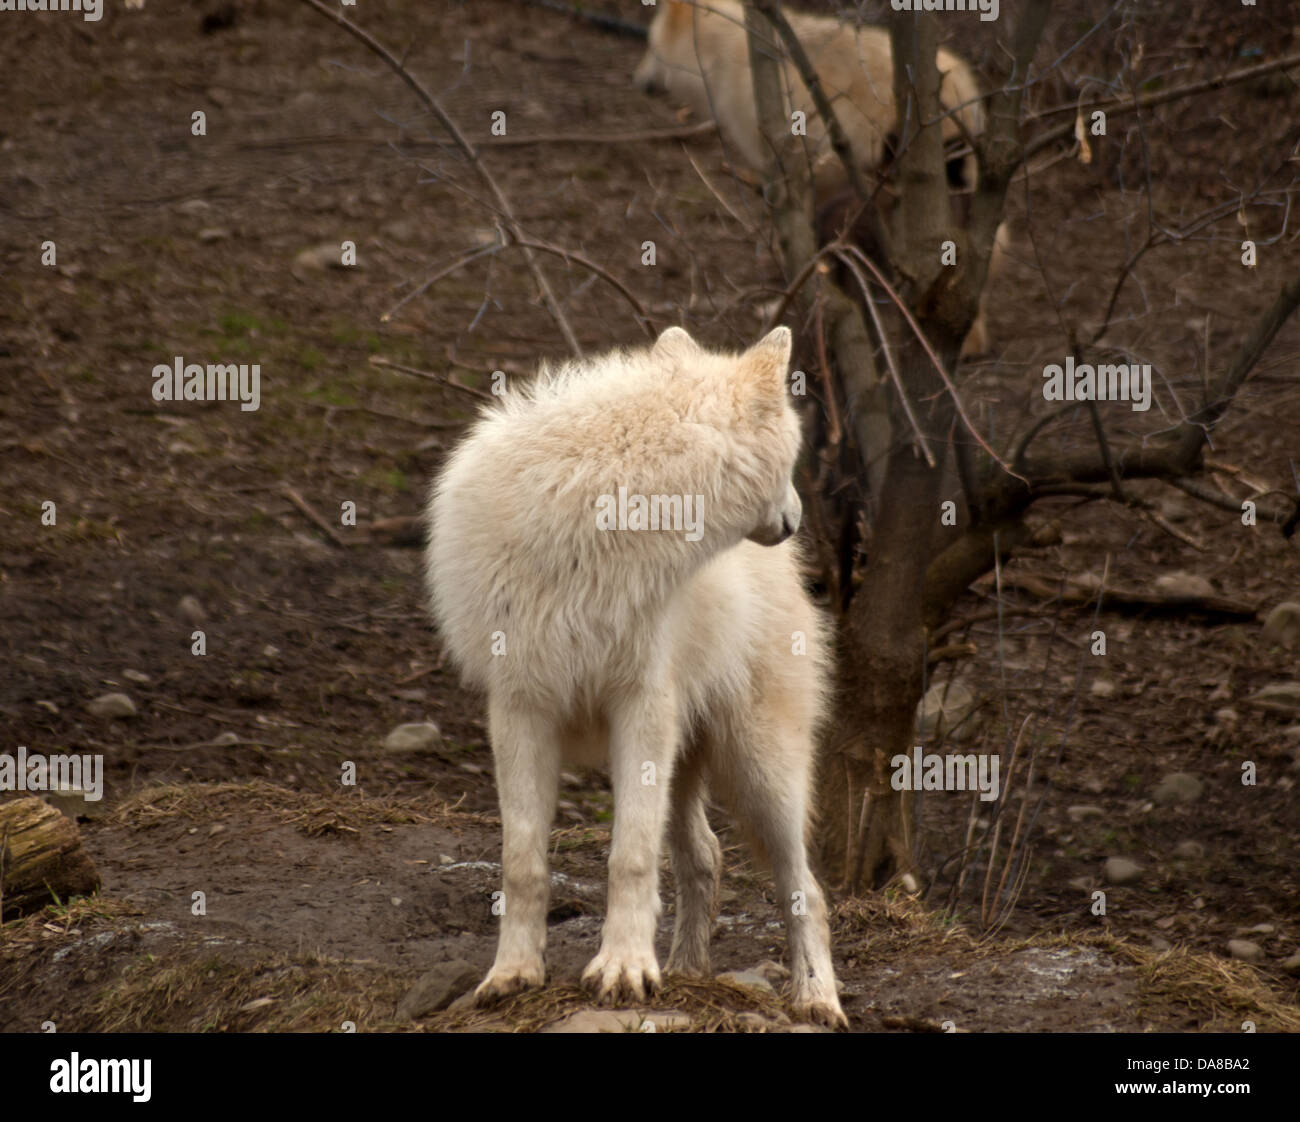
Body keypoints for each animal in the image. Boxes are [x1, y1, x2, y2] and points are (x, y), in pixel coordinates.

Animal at [426, 325, 846, 1028]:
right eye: (791, 459)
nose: (795, 519)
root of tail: (794, 570)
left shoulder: (641, 705)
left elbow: (629, 857)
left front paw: (623, 969)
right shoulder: (519, 708)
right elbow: (522, 863)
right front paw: (513, 973)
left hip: (760, 768)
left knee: (804, 888)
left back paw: (816, 997)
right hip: (687, 757)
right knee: (706, 857)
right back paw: (686, 971)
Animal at [634, 0, 1007, 357]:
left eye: (649, 45)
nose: (637, 81)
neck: (722, 55)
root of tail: (958, 82)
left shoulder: (792, 178)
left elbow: (803, 249)